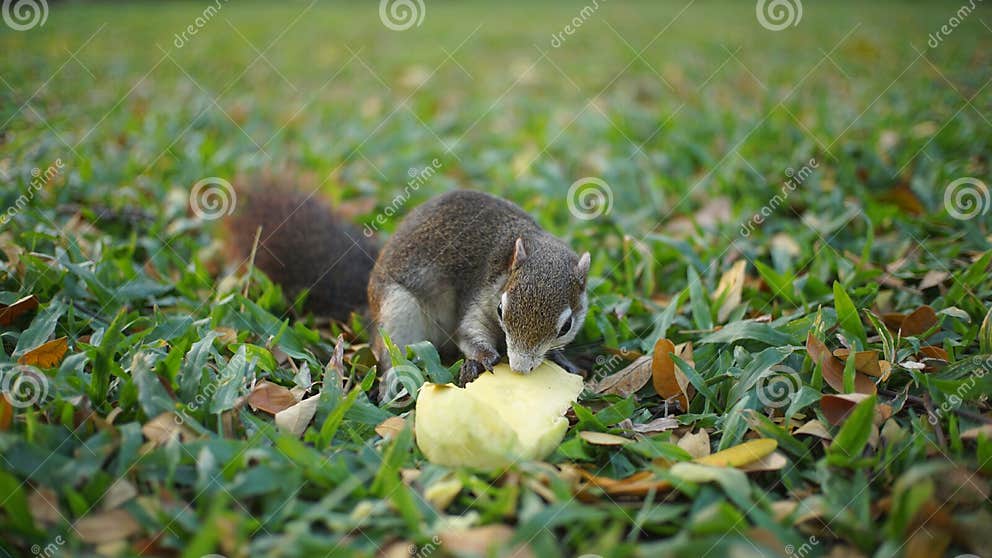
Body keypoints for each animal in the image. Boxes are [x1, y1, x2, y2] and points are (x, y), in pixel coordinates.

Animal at [226, 184, 588, 385]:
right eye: (501, 309)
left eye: (566, 326)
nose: (520, 368)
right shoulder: (479, 294)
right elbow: (468, 332)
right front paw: (484, 357)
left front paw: (562, 358)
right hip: (399, 312)